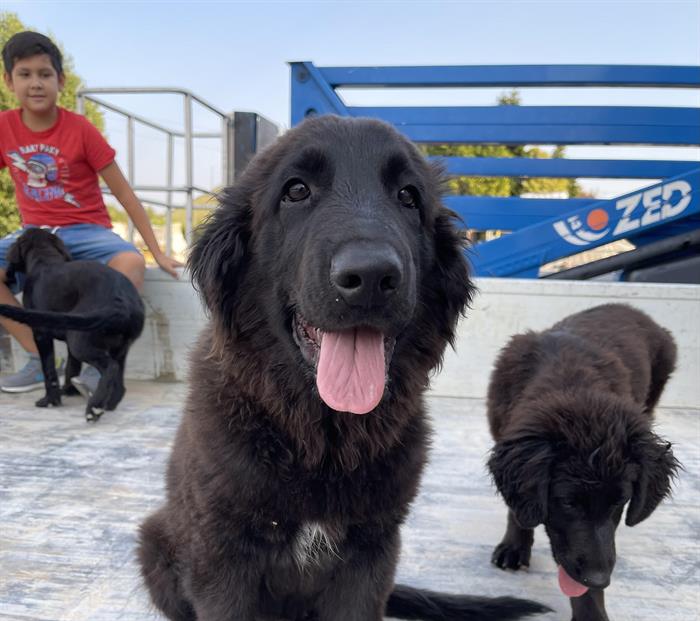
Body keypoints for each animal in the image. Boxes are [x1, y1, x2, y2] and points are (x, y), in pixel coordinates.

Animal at [0, 228, 145, 422]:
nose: (9, 277)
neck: (44, 259)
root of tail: (122, 304)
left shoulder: (41, 334)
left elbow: (49, 370)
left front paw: (50, 400)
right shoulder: (69, 341)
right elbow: (71, 367)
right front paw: (69, 390)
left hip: (81, 342)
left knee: (110, 368)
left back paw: (94, 407)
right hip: (118, 348)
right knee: (119, 382)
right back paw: (107, 404)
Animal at [137, 114, 548, 616]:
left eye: (408, 197)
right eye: (296, 191)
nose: (371, 276)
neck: (324, 435)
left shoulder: (372, 552)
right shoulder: (221, 556)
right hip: (155, 544)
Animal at [486, 304, 680, 620]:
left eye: (620, 501)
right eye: (567, 502)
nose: (598, 579)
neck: (572, 383)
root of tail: (629, 308)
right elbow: (518, 507)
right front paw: (515, 546)